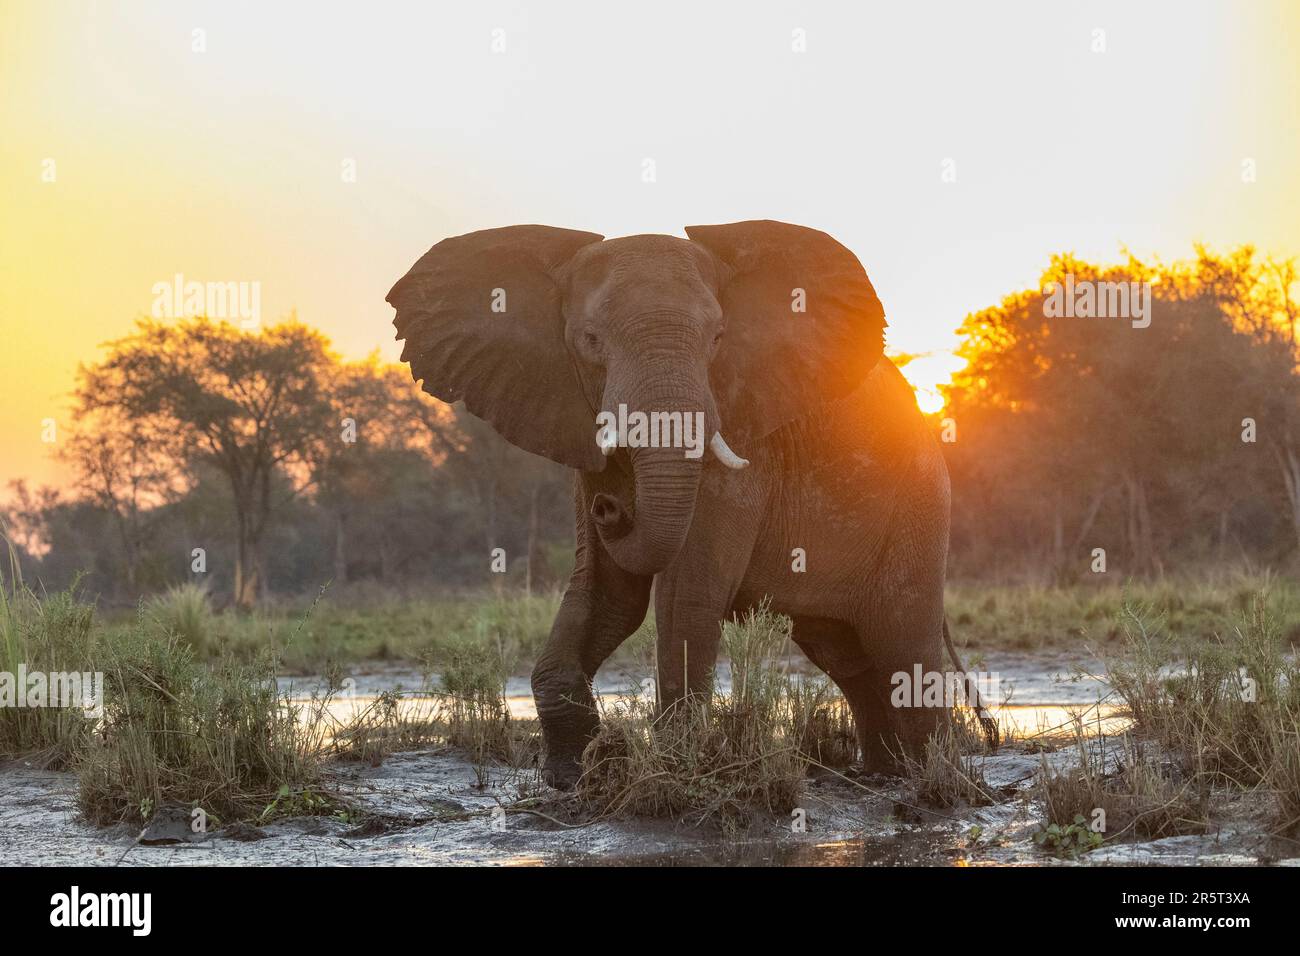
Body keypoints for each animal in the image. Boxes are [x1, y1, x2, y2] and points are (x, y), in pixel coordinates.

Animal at [388, 220, 991, 789]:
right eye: (589, 340)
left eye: (718, 337)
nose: (610, 508)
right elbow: (606, 594)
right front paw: (573, 775)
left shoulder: (743, 449)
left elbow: (686, 594)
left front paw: (675, 770)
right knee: (849, 656)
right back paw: (886, 775)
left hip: (918, 509)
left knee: (902, 647)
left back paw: (932, 782)